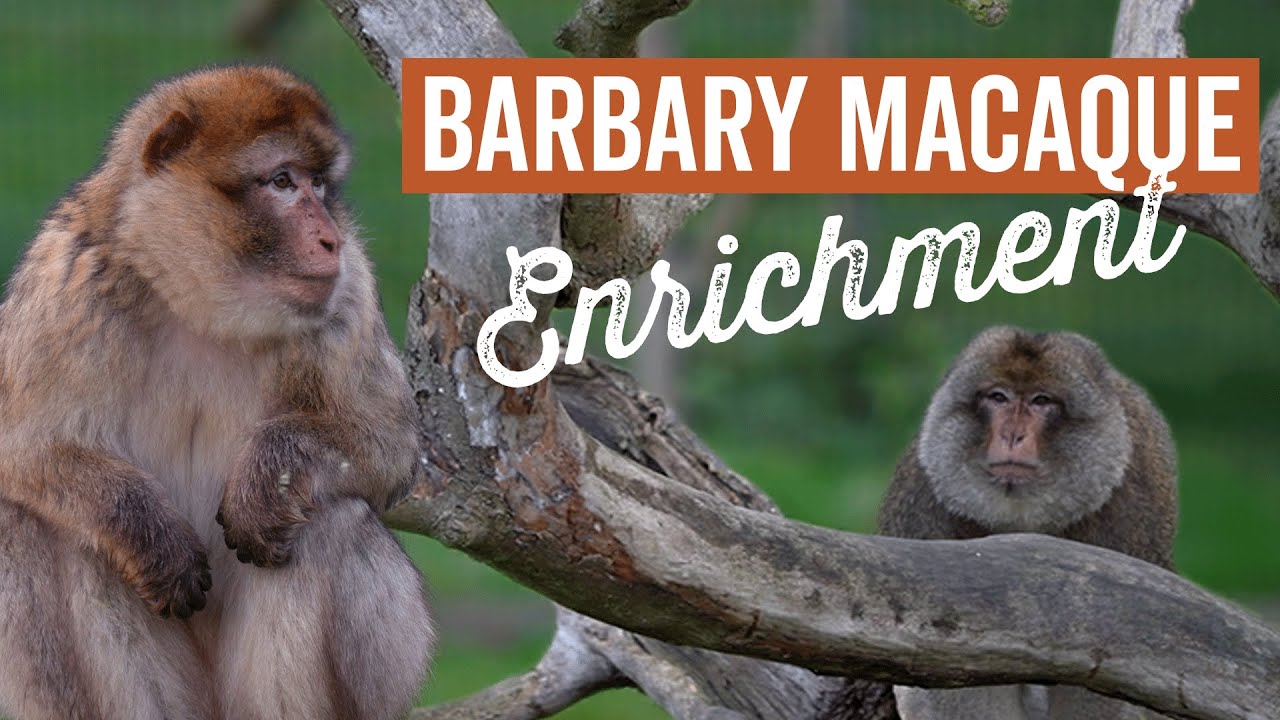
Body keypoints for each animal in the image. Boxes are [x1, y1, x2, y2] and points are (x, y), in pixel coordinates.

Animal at [0, 66, 433, 720]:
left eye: (319, 184)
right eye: (281, 182)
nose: (330, 238)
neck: (198, 305)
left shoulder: (349, 290)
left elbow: (391, 446)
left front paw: (269, 472)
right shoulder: (69, 282)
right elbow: (21, 449)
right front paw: (147, 532)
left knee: (325, 516)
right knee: (46, 530)